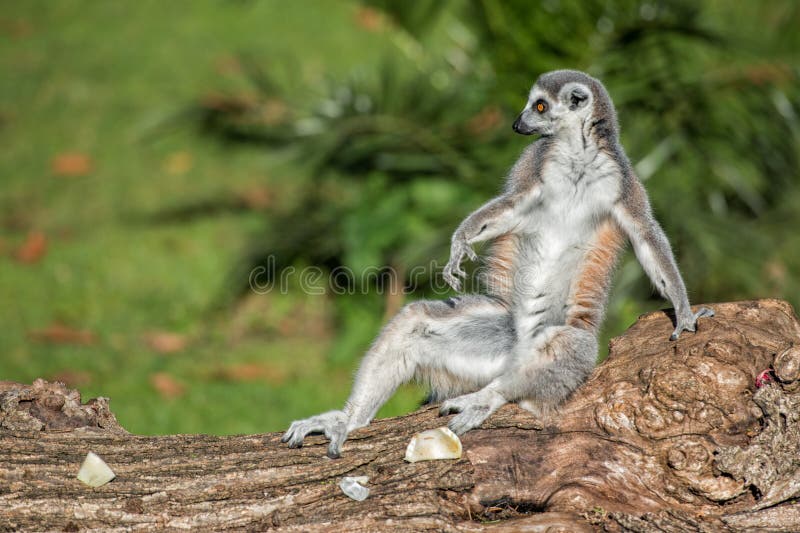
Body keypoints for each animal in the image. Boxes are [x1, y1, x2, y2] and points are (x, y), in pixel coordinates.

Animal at [282, 69, 714, 458]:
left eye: (539, 105)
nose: (517, 124)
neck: (576, 154)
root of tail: (516, 356)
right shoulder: (536, 166)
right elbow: (509, 207)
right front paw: (460, 243)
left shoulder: (623, 181)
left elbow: (646, 238)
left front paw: (684, 312)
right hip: (489, 343)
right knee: (416, 321)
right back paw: (350, 419)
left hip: (538, 347)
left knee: (566, 346)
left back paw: (487, 398)